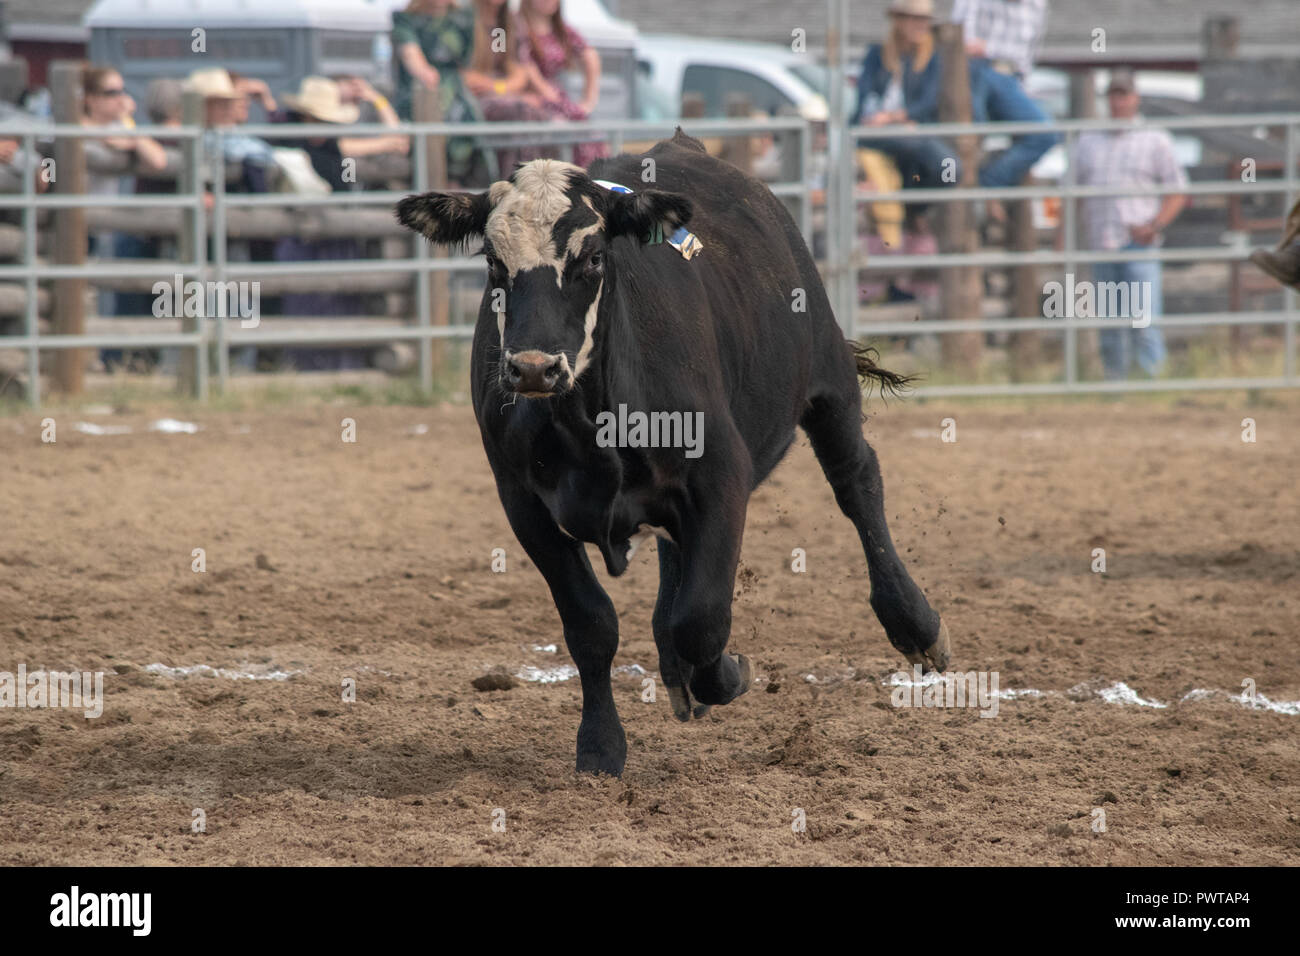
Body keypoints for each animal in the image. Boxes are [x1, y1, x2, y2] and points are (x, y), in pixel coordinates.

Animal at [396, 129, 950, 776]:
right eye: (492, 262)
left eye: (592, 258)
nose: (532, 368)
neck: (591, 423)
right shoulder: (523, 504)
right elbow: (591, 624)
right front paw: (600, 745)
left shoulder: (722, 476)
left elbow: (703, 619)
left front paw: (728, 673)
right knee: (674, 552)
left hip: (828, 376)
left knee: (857, 484)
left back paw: (916, 624)